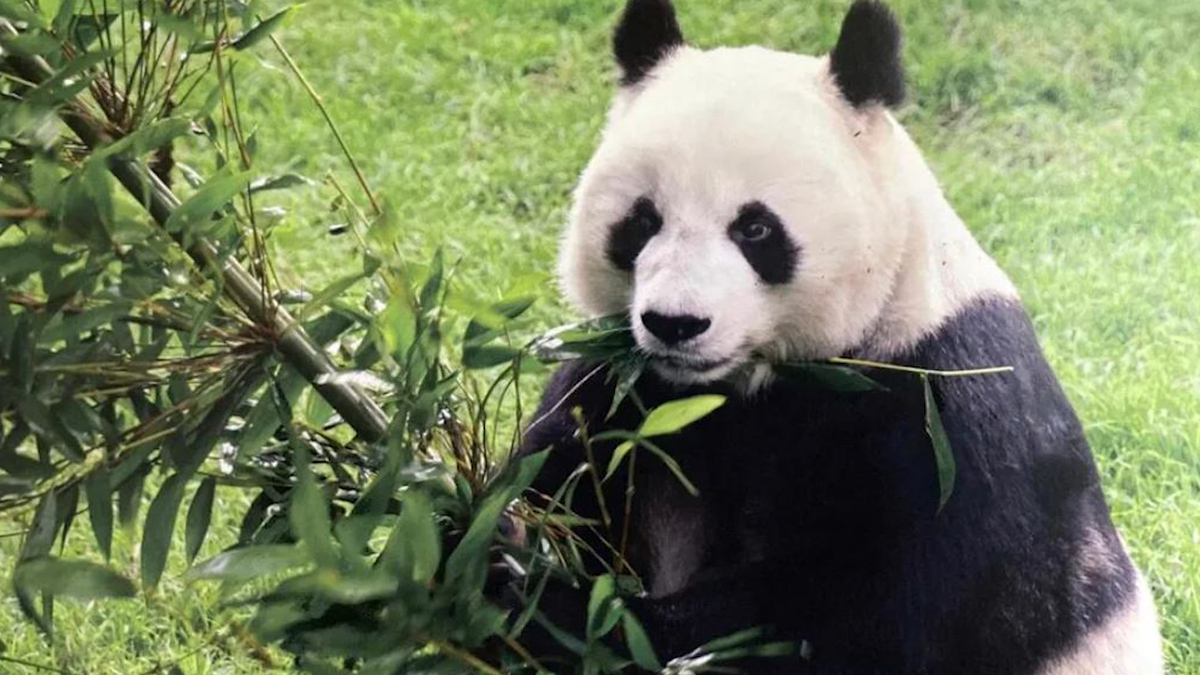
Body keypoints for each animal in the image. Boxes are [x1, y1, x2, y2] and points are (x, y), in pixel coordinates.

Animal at [516, 1, 1164, 673]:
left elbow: (862, 616)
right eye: (642, 221)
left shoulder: (944, 418)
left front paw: (558, 609)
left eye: (755, 229)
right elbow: (558, 475)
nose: (676, 323)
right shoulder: (624, 388)